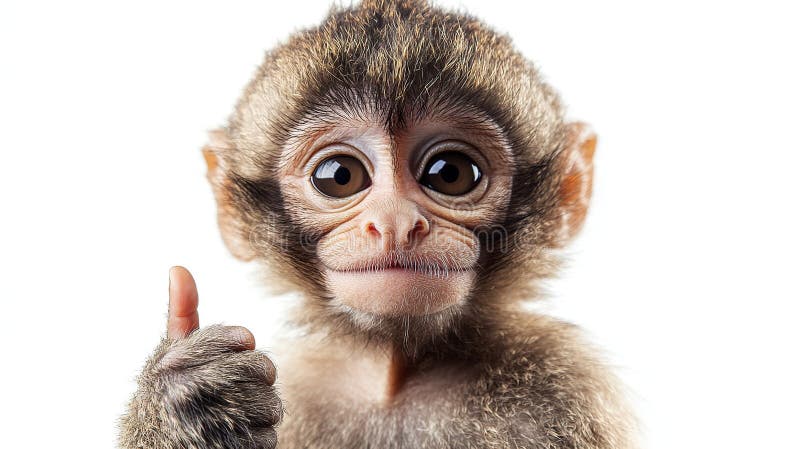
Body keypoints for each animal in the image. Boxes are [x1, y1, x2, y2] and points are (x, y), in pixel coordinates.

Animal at [119, 0, 636, 448]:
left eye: (450, 173)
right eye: (339, 176)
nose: (394, 223)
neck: (393, 378)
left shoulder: (565, 389)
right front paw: (185, 406)